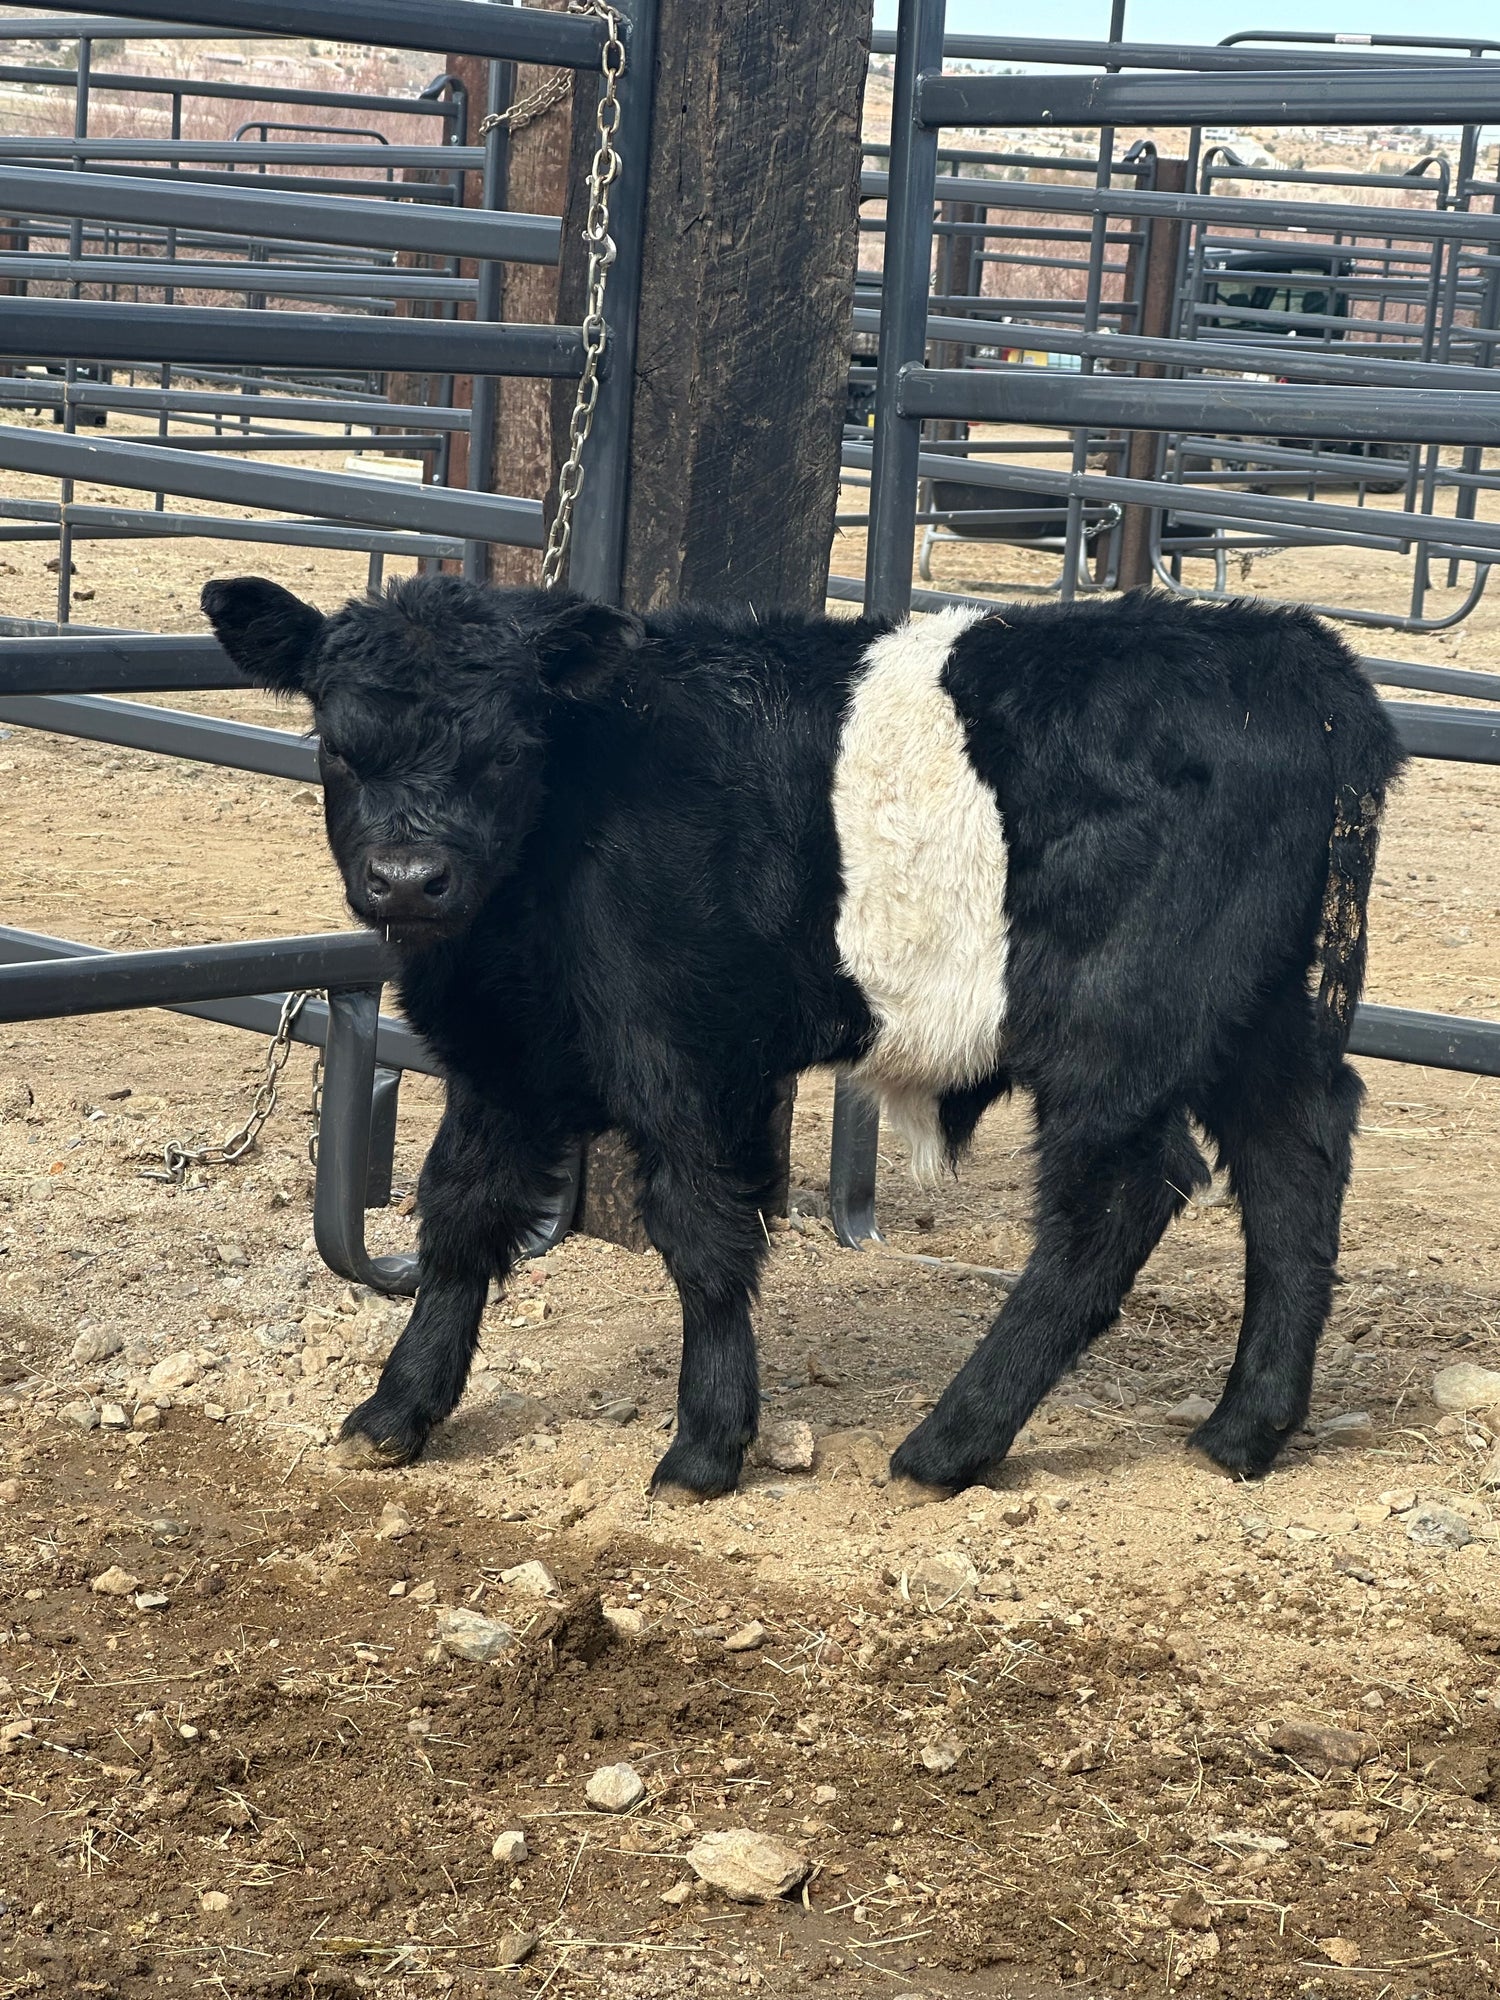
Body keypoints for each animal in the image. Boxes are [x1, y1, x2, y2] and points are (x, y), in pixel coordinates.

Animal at [201, 575, 1403, 1500]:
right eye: (337, 747)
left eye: (504, 750)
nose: (408, 878)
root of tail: (1296, 657)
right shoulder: (503, 1055)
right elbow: (459, 1212)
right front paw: (398, 1409)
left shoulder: (680, 1051)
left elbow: (701, 1231)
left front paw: (705, 1444)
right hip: (1258, 1018)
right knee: (1295, 1166)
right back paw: (1242, 1429)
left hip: (1119, 1030)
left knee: (1117, 1201)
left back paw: (947, 1446)